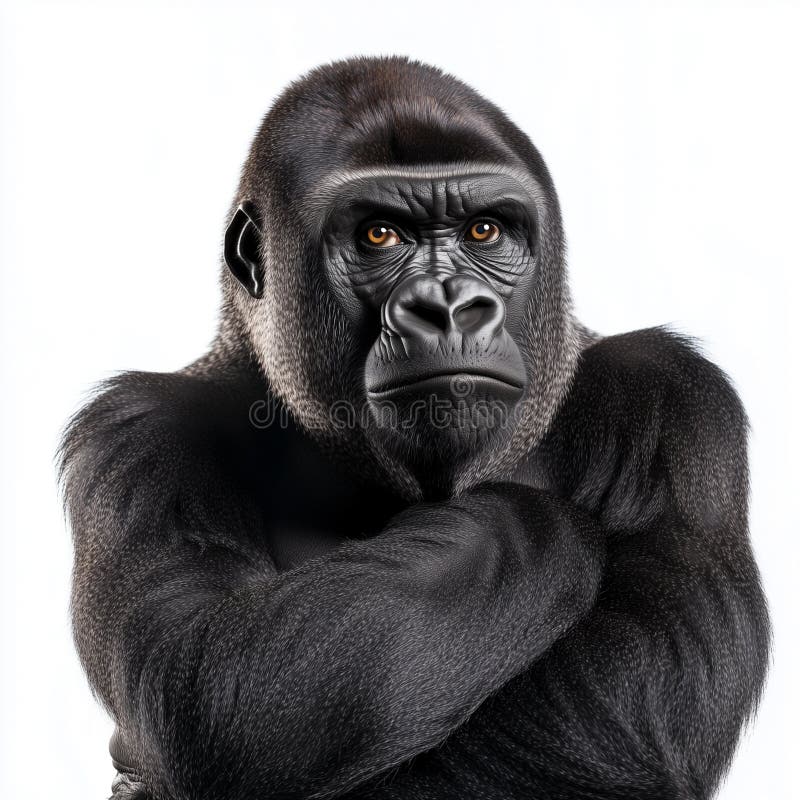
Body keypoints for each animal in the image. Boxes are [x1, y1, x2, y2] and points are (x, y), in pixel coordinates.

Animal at [60, 56, 769, 800]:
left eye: (484, 231)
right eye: (380, 235)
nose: (450, 306)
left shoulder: (675, 401)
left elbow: (632, 702)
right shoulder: (137, 435)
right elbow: (213, 680)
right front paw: (537, 523)